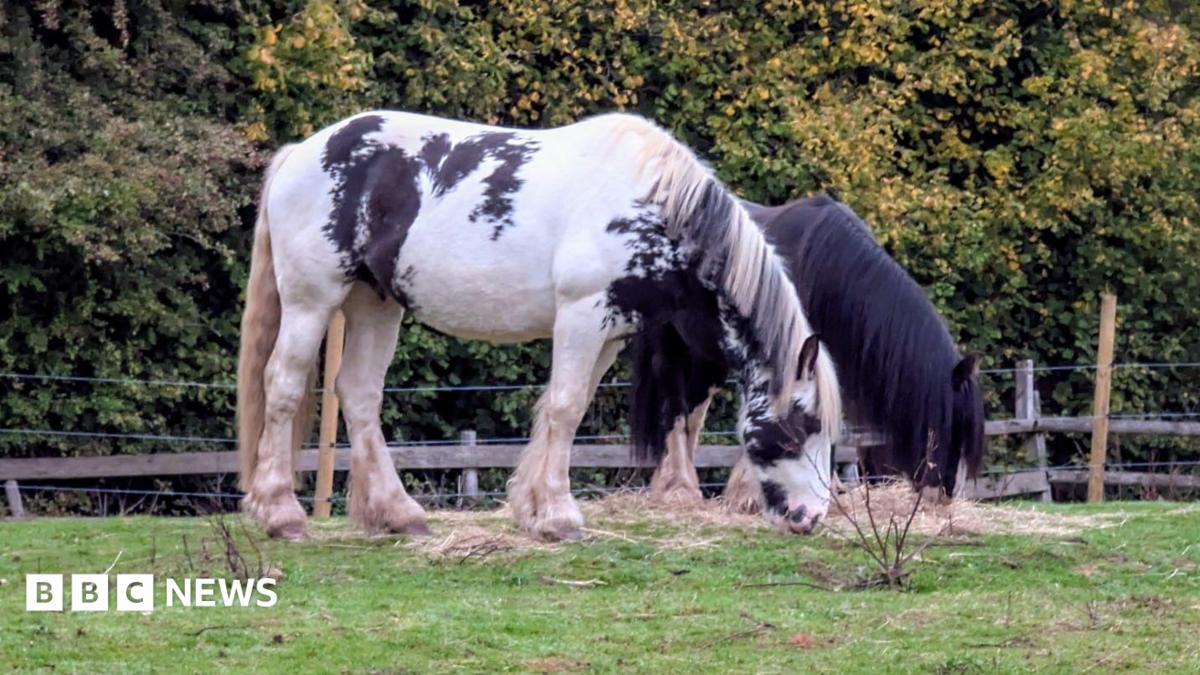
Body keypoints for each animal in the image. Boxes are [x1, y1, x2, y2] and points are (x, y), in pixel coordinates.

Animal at [236, 110, 842, 541]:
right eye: (800, 428)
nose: (811, 516)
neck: (651, 206)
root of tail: (301, 153)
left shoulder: (608, 331)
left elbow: (559, 408)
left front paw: (533, 508)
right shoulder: (582, 314)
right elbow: (566, 408)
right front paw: (557, 515)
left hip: (374, 302)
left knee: (359, 395)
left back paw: (398, 513)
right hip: (313, 300)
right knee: (283, 386)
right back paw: (282, 515)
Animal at [631, 194, 984, 518]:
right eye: (951, 425)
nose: (943, 497)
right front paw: (751, 495)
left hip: (707, 353)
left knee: (694, 408)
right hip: (669, 341)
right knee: (674, 403)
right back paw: (679, 489)